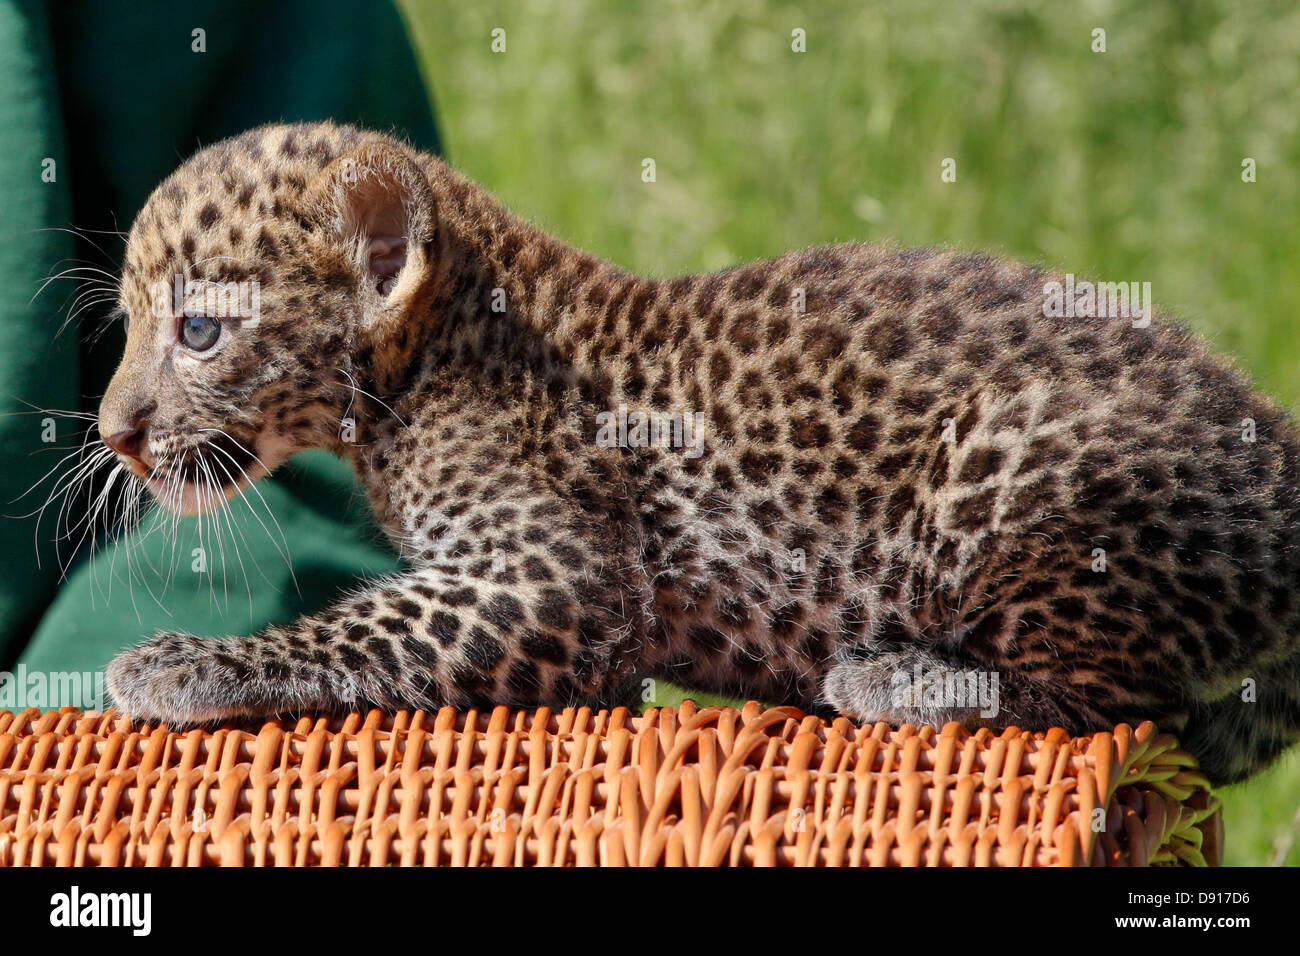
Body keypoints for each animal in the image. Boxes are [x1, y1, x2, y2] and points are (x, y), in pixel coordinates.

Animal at [95, 121, 1300, 786]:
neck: (445, 344)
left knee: (1127, 702)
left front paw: (185, 661)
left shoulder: (559, 571)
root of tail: (1278, 447)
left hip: (1017, 456)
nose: (113, 432)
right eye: (127, 323)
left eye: (197, 330)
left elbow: (368, 624)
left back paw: (899, 674)